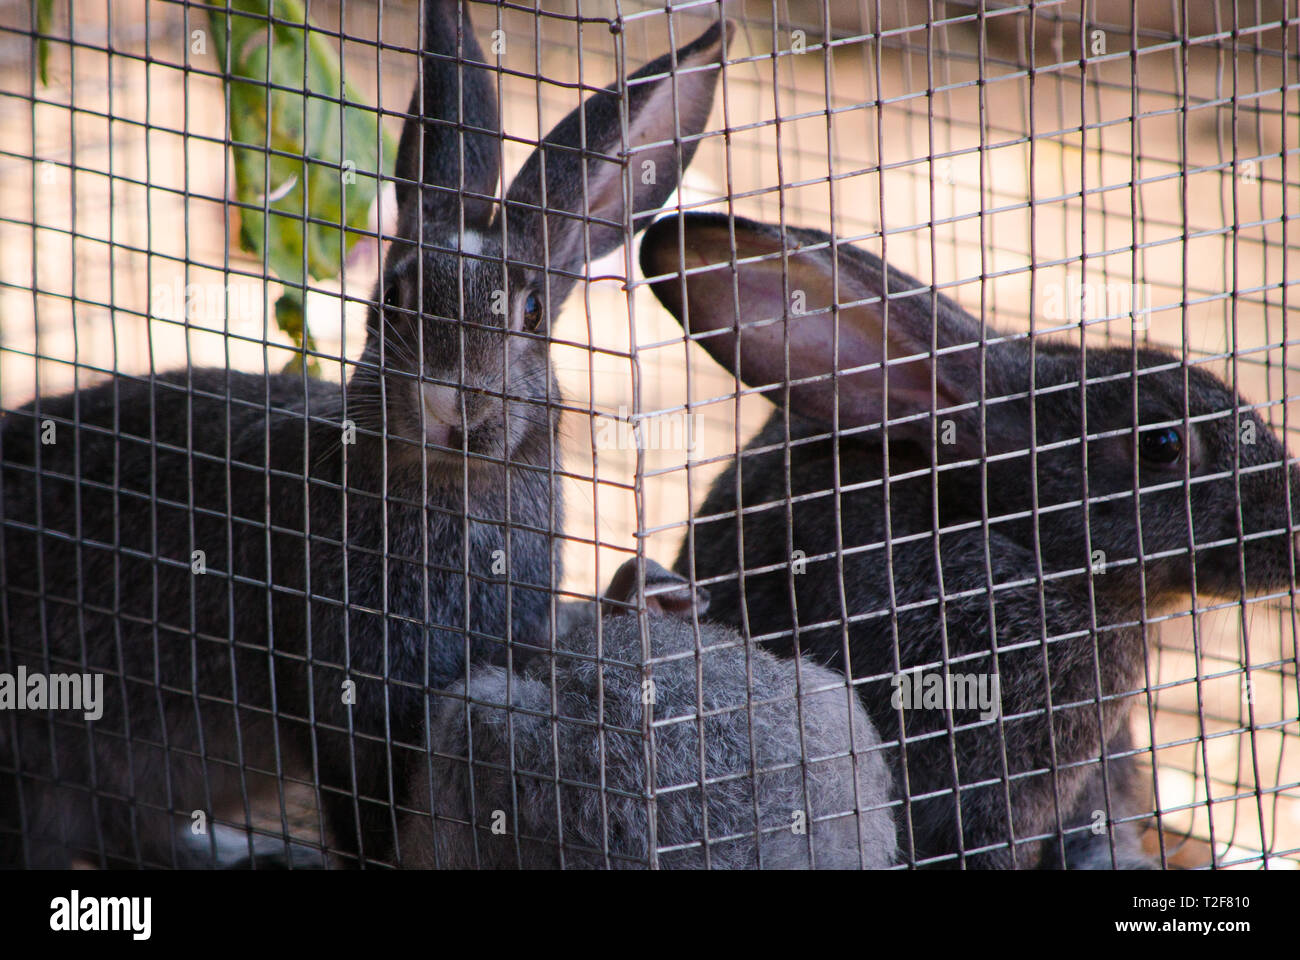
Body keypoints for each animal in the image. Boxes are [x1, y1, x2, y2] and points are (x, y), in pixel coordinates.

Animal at [0, 0, 729, 869]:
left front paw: (654, 594)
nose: (456, 404)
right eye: (395, 295)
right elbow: (368, 813)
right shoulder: (344, 700)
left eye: (530, 312)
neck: (447, 489)